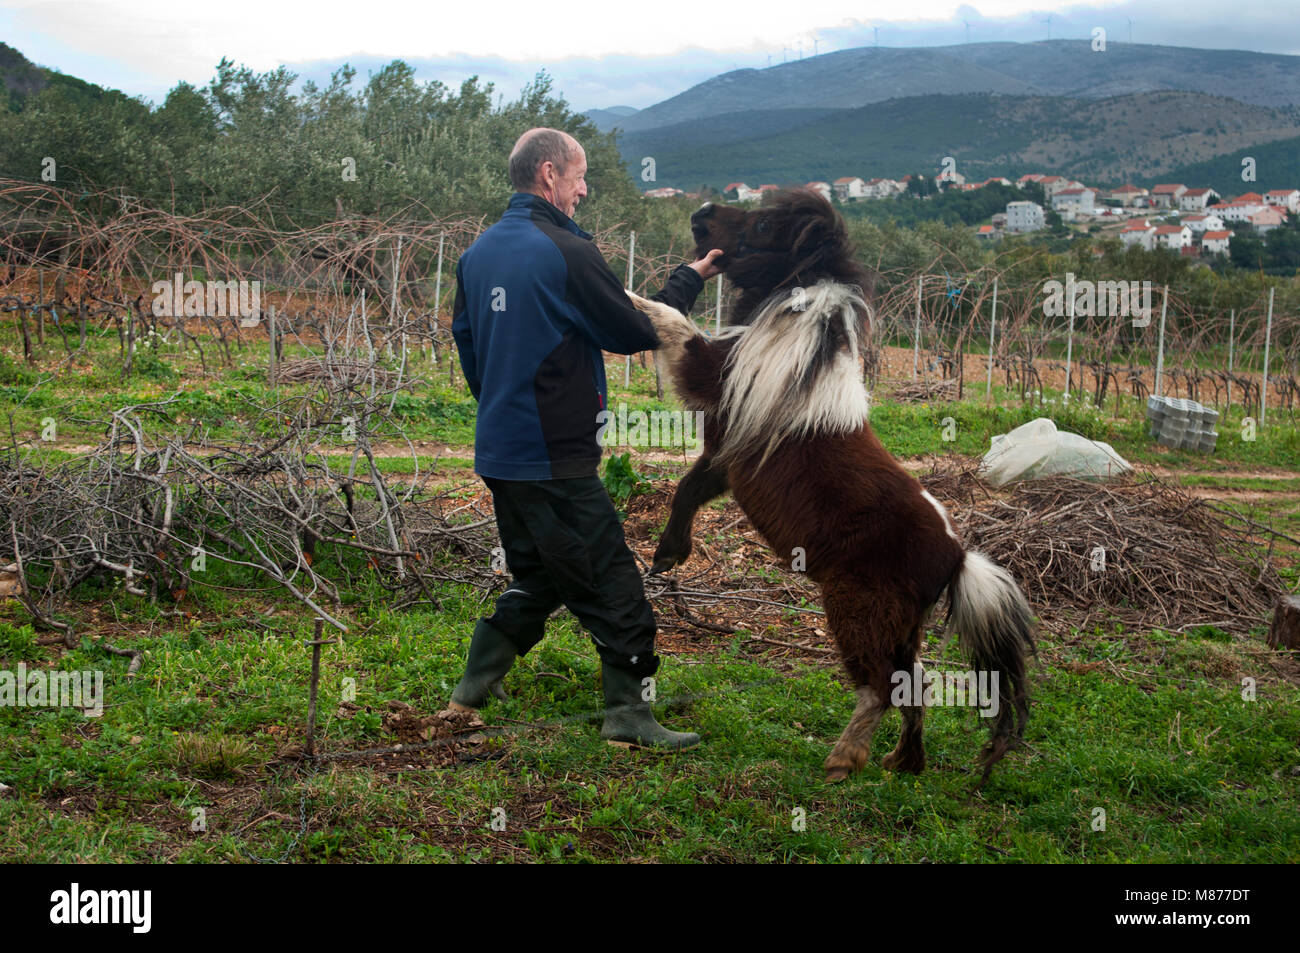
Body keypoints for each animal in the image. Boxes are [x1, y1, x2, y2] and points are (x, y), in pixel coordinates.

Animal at [629, 188, 1035, 784]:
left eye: (765, 225)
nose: (701, 215)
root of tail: (958, 557)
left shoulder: (713, 385)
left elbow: (671, 322)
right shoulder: (728, 451)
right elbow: (688, 489)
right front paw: (667, 556)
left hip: (857, 612)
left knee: (881, 687)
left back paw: (844, 760)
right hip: (901, 627)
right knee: (913, 686)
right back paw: (902, 762)